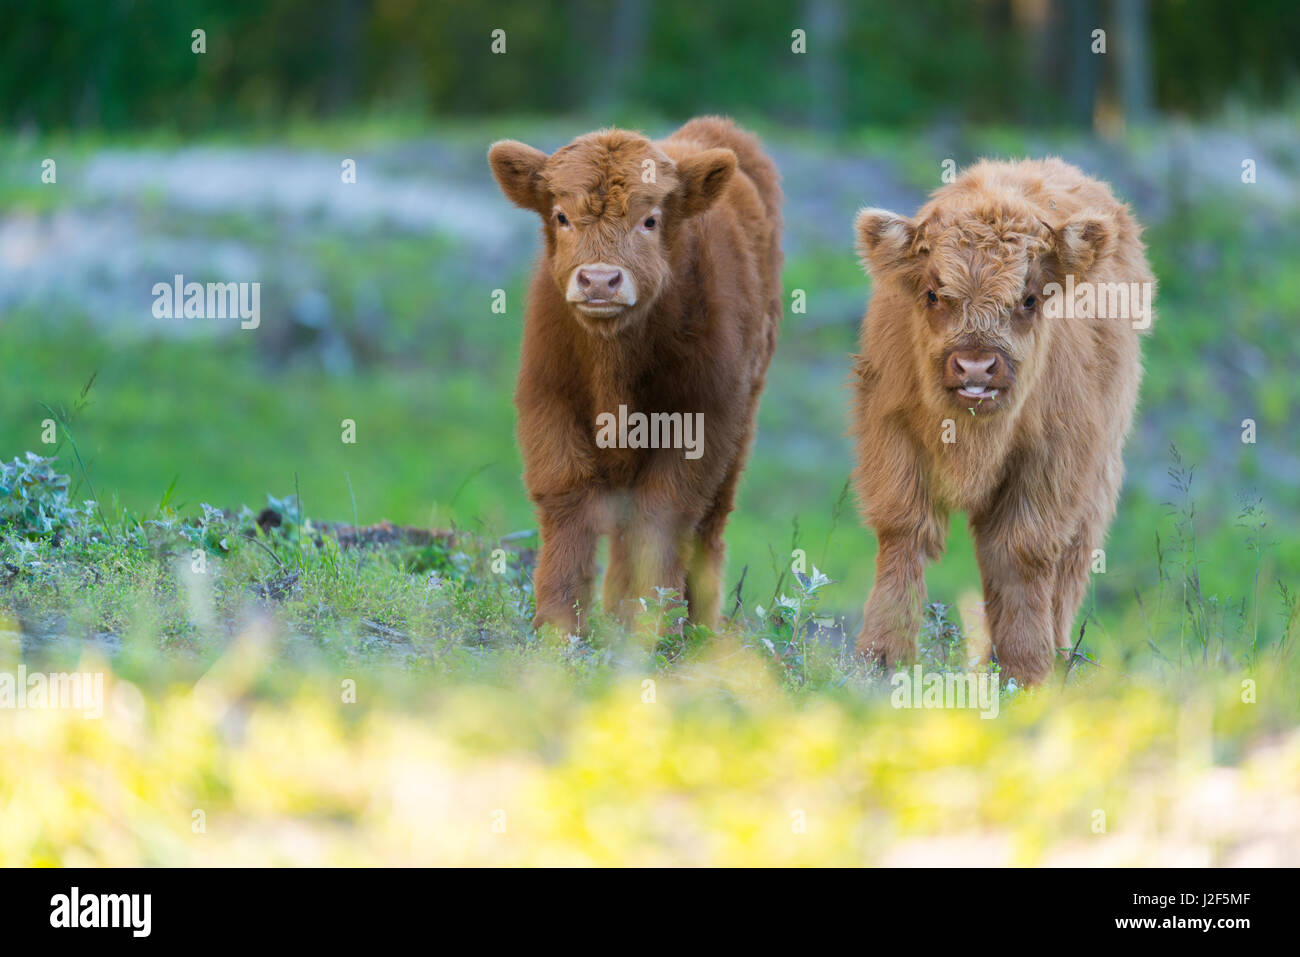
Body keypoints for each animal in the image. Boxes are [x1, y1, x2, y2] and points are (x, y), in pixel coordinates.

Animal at [488, 117, 783, 637]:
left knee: (707, 527)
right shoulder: (549, 402)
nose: (600, 281)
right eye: (561, 216)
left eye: (650, 220)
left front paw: (653, 623)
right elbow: (567, 501)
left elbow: (663, 515)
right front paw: (559, 622)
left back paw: (697, 625)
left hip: (743, 420)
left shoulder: (700, 421)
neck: (614, 368)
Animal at [850, 158, 1154, 685]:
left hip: (1098, 478)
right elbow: (905, 535)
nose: (976, 367)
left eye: (1029, 299)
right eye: (934, 293)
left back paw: (1052, 653)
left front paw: (1027, 671)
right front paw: (882, 657)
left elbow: (1021, 552)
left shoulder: (1054, 461)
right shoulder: (890, 434)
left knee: (1066, 564)